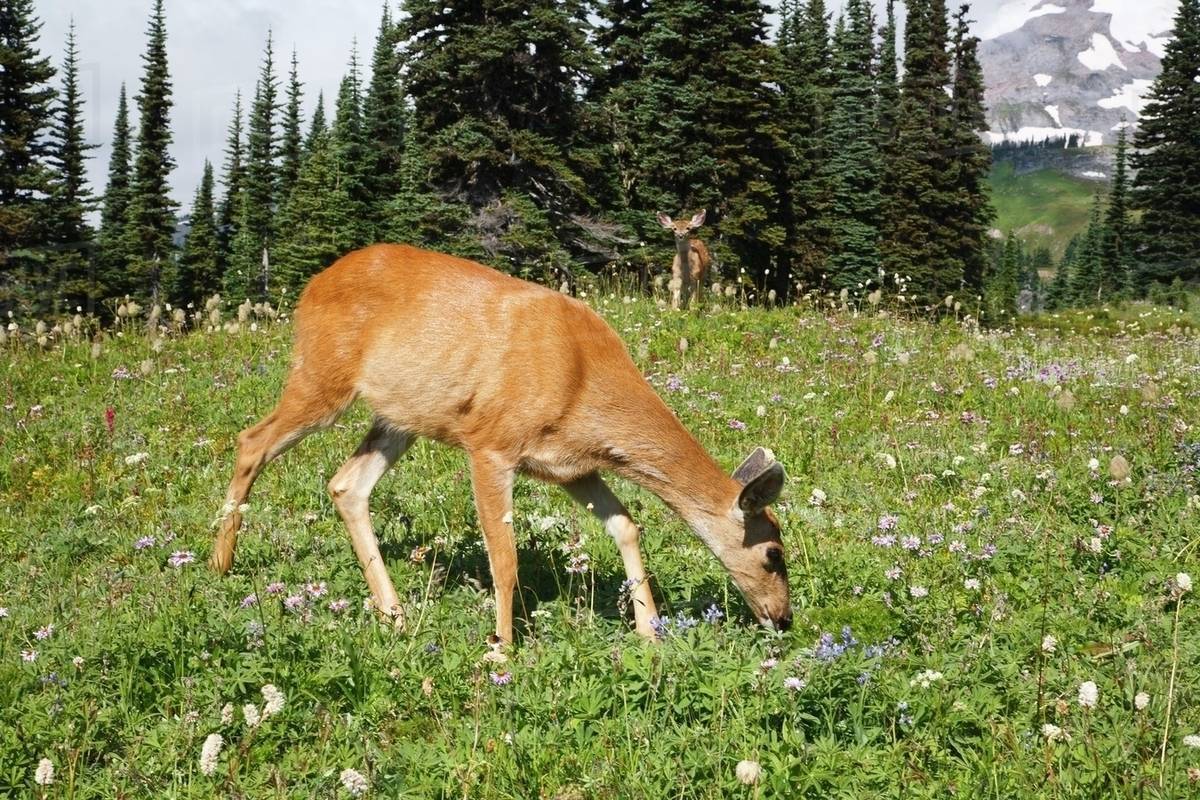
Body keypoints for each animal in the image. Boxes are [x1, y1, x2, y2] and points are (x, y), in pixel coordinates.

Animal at [210, 244, 792, 644]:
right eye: (773, 553)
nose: (785, 619)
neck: (582, 380)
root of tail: (310, 287)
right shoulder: (491, 443)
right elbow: (505, 558)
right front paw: (502, 648)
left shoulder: (573, 467)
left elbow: (626, 524)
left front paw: (649, 631)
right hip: (321, 376)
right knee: (251, 440)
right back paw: (221, 562)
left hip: (399, 416)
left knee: (346, 485)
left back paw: (394, 613)